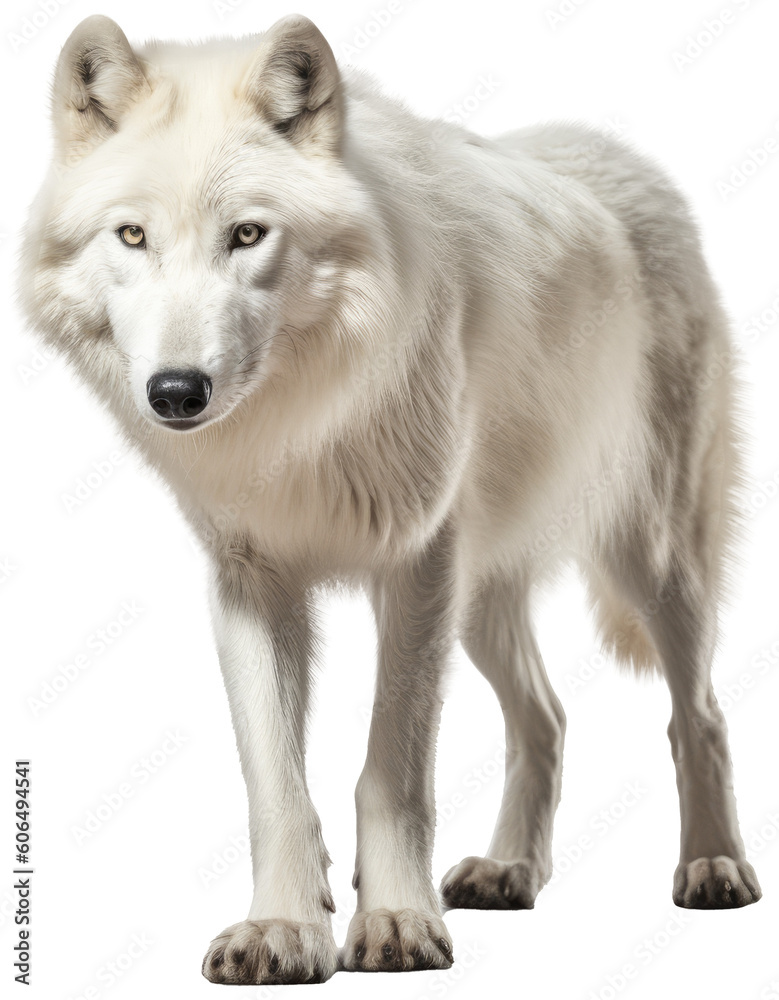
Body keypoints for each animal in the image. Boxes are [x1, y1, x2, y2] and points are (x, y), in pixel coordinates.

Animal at [20, 12, 761, 985]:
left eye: (248, 234)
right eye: (132, 236)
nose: (176, 392)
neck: (300, 422)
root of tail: (619, 154)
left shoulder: (414, 564)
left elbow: (393, 768)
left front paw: (399, 924)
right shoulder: (251, 582)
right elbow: (274, 782)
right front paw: (283, 929)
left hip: (650, 559)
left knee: (698, 714)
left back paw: (712, 864)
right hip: (481, 601)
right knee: (547, 717)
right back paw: (510, 870)